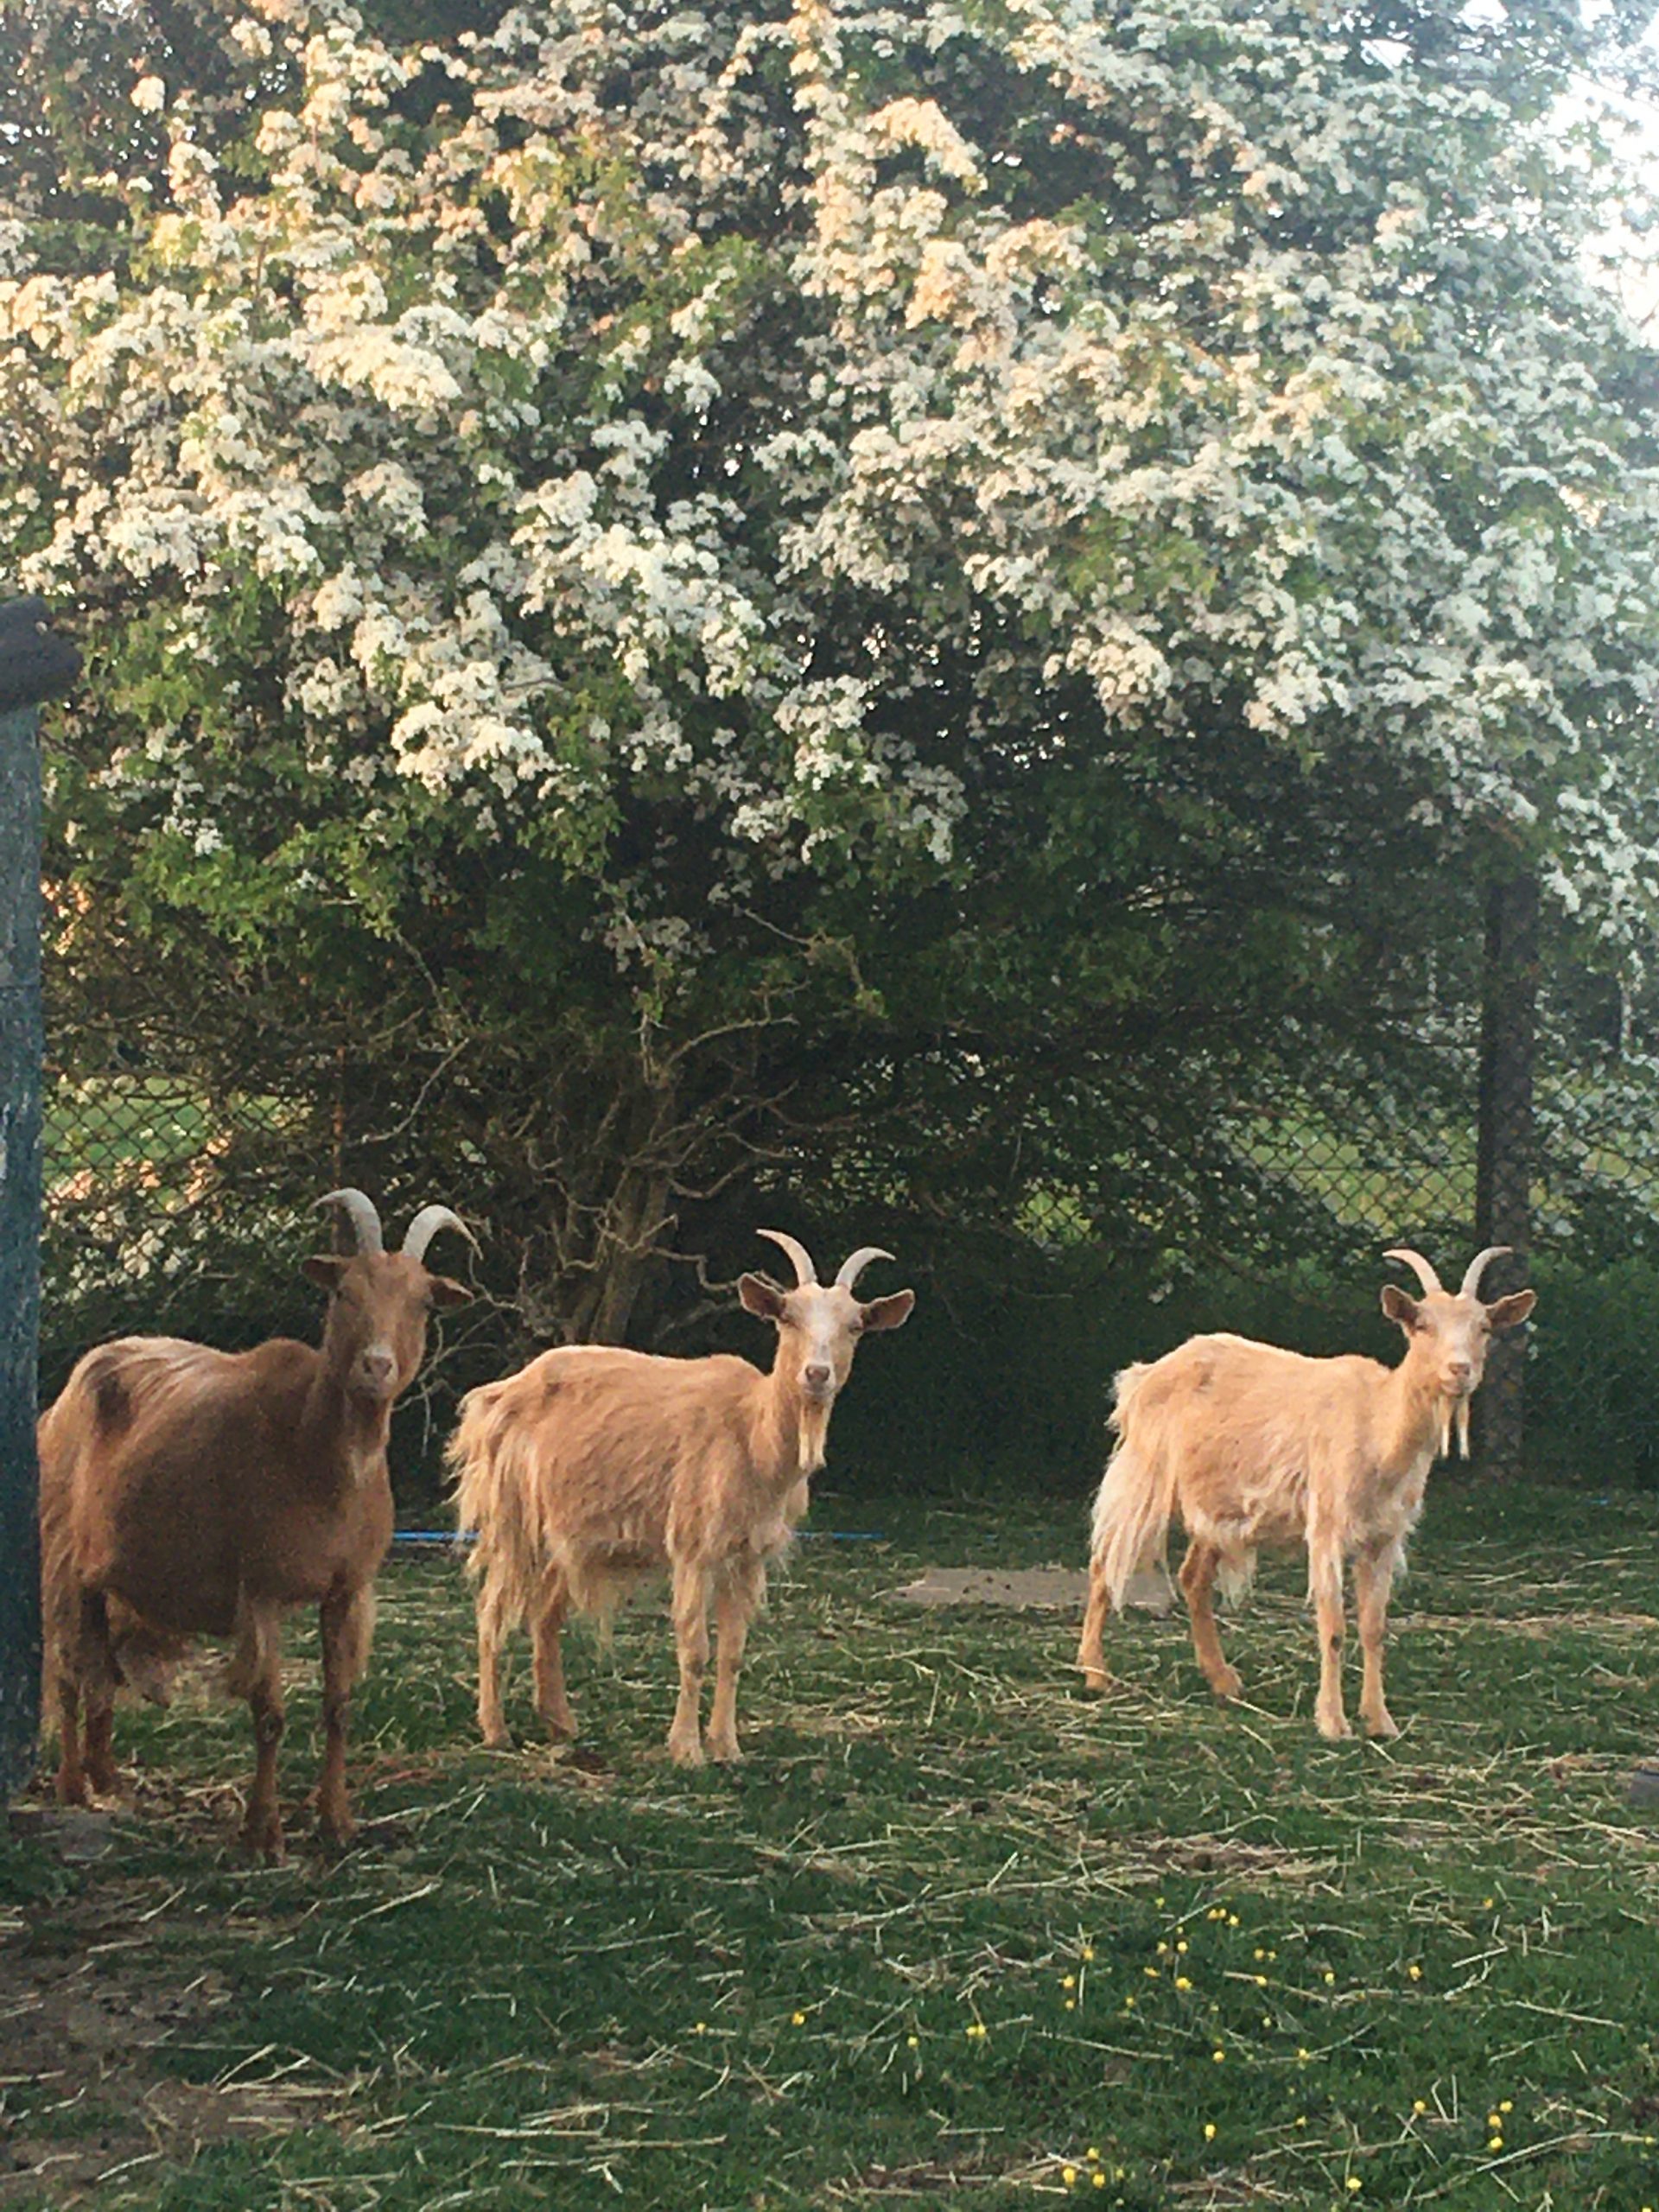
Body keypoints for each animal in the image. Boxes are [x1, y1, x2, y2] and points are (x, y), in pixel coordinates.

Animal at [38, 1189, 473, 1853]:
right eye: (343, 1293)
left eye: (424, 1303)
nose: (376, 1367)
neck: (314, 1453)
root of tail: (66, 1394)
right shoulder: (261, 1591)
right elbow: (269, 1715)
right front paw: (264, 1832)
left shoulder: (348, 1591)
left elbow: (338, 1706)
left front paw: (336, 1822)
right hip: (63, 1555)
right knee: (68, 1668)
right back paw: (70, 1785)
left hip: (109, 1574)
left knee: (100, 1667)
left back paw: (106, 1774)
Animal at [449, 1231, 914, 1767]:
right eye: (787, 1316)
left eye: (855, 1325)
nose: (817, 1375)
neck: (753, 1431)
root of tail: (499, 1394)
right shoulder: (696, 1547)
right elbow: (694, 1650)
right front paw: (688, 1750)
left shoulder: (747, 1555)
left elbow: (732, 1653)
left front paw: (727, 1746)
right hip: (512, 1514)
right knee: (491, 1612)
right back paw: (495, 1730)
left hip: (568, 1535)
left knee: (544, 1617)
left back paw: (560, 1724)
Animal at [1075, 1247, 1535, 1740]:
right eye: (1422, 1325)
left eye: (1484, 1327)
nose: (1459, 1371)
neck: (1378, 1424)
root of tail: (1142, 1376)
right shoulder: (1327, 1528)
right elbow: (1333, 1627)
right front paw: (1333, 1722)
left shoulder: (1383, 1538)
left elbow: (1373, 1627)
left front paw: (1380, 1721)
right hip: (1145, 1473)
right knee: (1105, 1563)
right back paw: (1095, 1673)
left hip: (1217, 1505)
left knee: (1193, 1578)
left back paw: (1222, 1680)